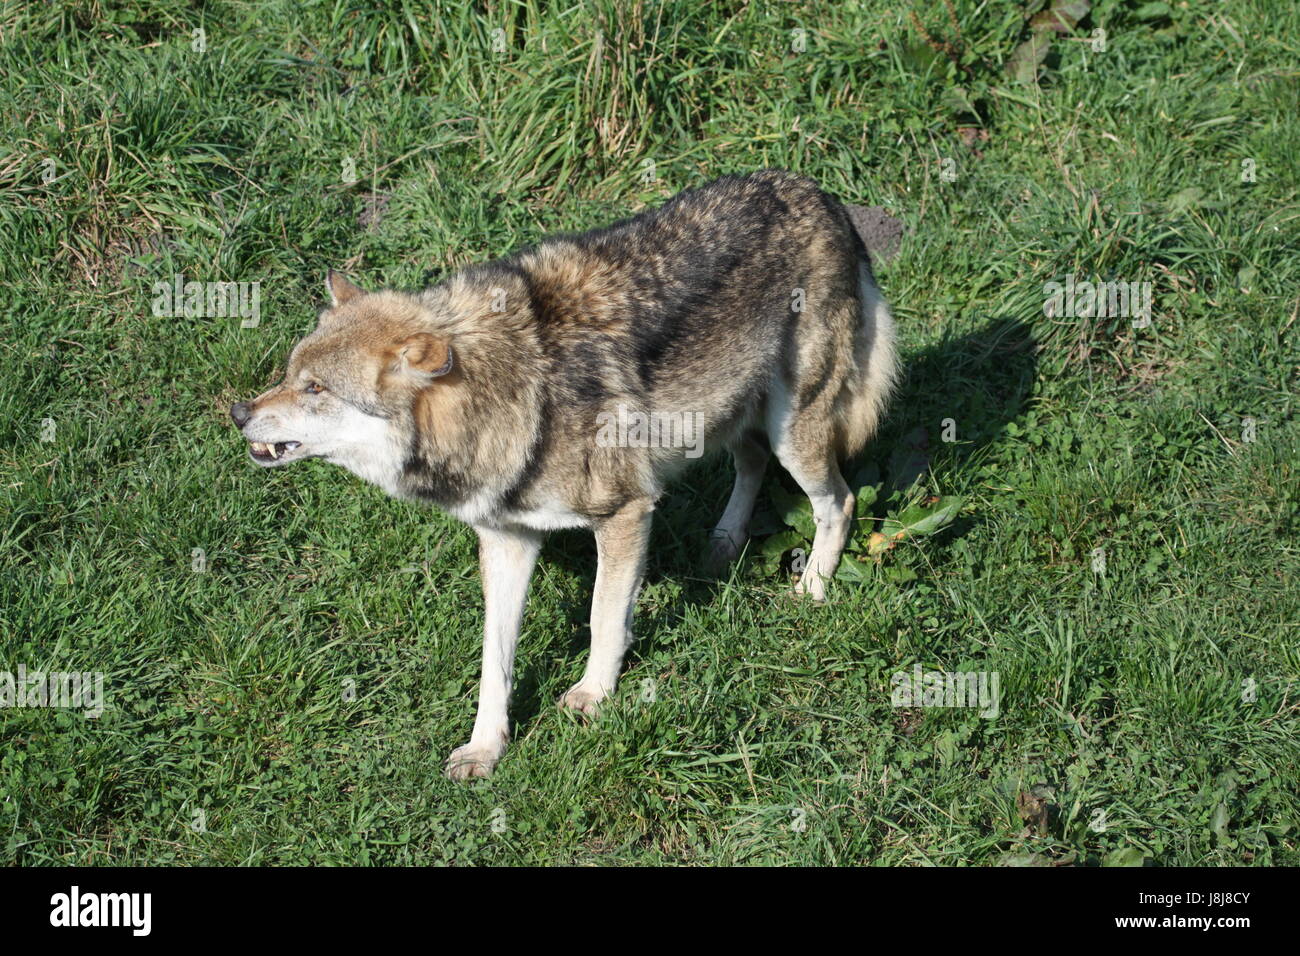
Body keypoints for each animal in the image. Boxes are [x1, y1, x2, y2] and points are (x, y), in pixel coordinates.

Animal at [230, 170, 898, 778]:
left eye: (316, 389)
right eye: (289, 374)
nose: (238, 413)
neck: (513, 393)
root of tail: (821, 194)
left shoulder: (625, 513)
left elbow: (604, 618)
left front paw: (593, 698)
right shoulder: (507, 540)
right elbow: (494, 661)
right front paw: (485, 747)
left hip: (795, 431)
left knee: (838, 502)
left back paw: (811, 589)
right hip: (736, 418)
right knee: (752, 463)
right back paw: (723, 544)